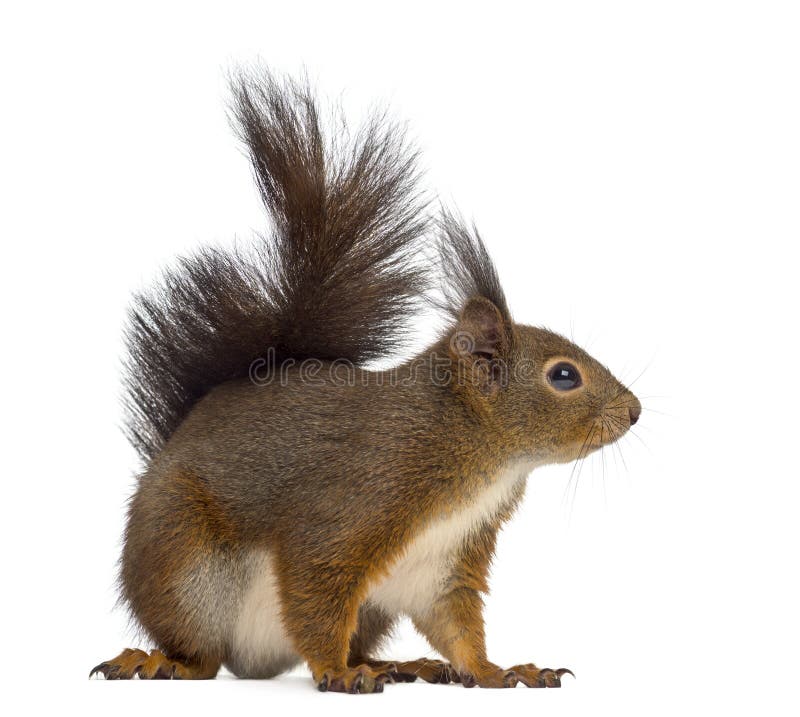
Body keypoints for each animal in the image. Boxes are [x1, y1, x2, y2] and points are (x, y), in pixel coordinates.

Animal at [91, 70, 641, 693]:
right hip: (188, 569)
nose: (634, 411)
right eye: (564, 375)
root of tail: (257, 662)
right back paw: (161, 661)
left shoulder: (446, 560)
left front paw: (498, 671)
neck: (479, 455)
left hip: (373, 607)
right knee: (203, 656)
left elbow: (456, 623)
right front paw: (333, 671)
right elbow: (316, 588)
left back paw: (393, 664)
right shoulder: (355, 500)